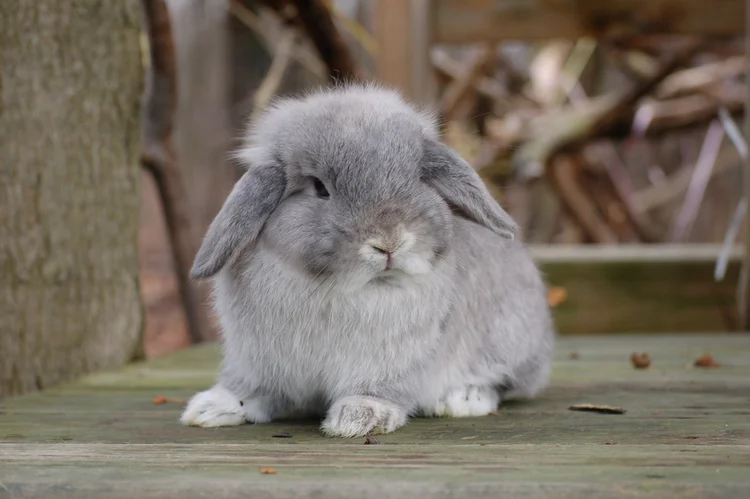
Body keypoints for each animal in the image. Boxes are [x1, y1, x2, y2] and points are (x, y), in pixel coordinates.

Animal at [180, 83, 556, 437]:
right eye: (319, 188)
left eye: (417, 179)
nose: (389, 242)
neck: (334, 287)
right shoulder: (254, 359)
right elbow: (250, 389)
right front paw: (212, 407)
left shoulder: (395, 363)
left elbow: (380, 390)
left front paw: (359, 417)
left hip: (509, 337)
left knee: (507, 381)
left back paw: (464, 398)